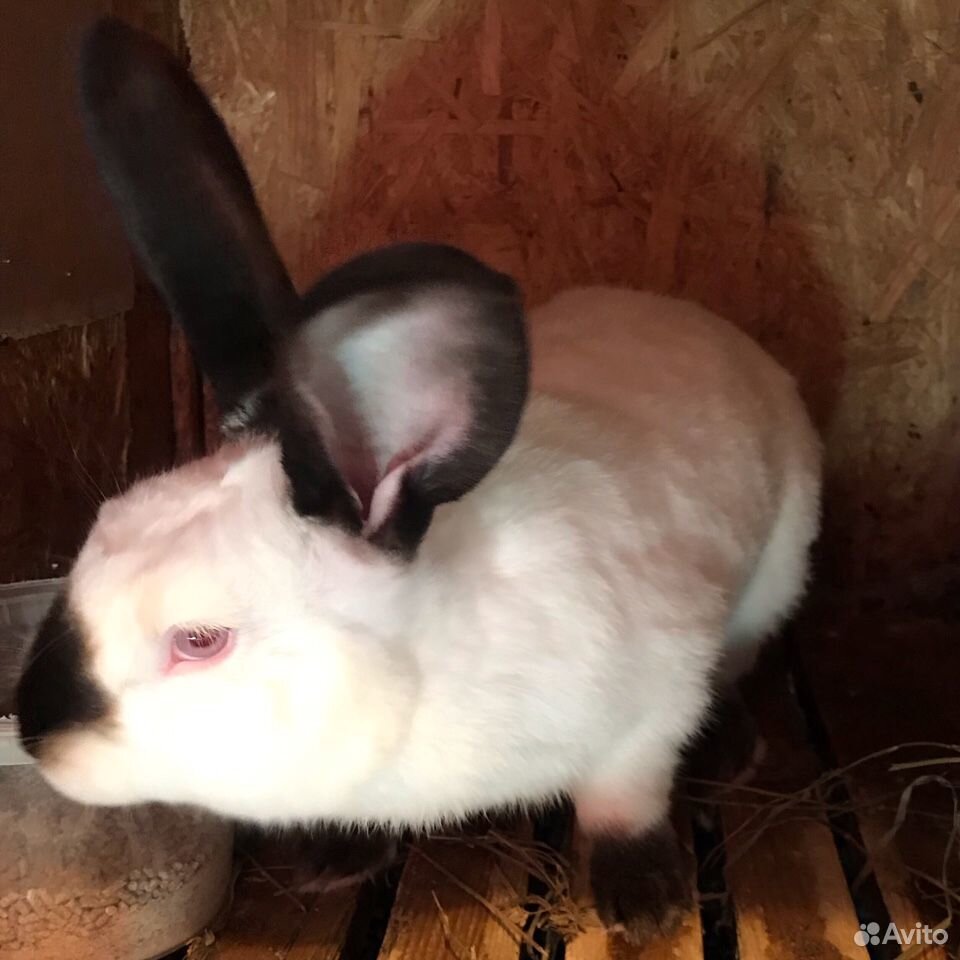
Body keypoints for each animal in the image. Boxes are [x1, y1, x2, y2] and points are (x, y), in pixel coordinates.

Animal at [15, 17, 821, 945]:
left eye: (200, 640)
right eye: (92, 540)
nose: (35, 734)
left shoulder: (647, 709)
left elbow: (625, 799)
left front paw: (643, 902)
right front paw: (333, 862)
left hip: (773, 579)